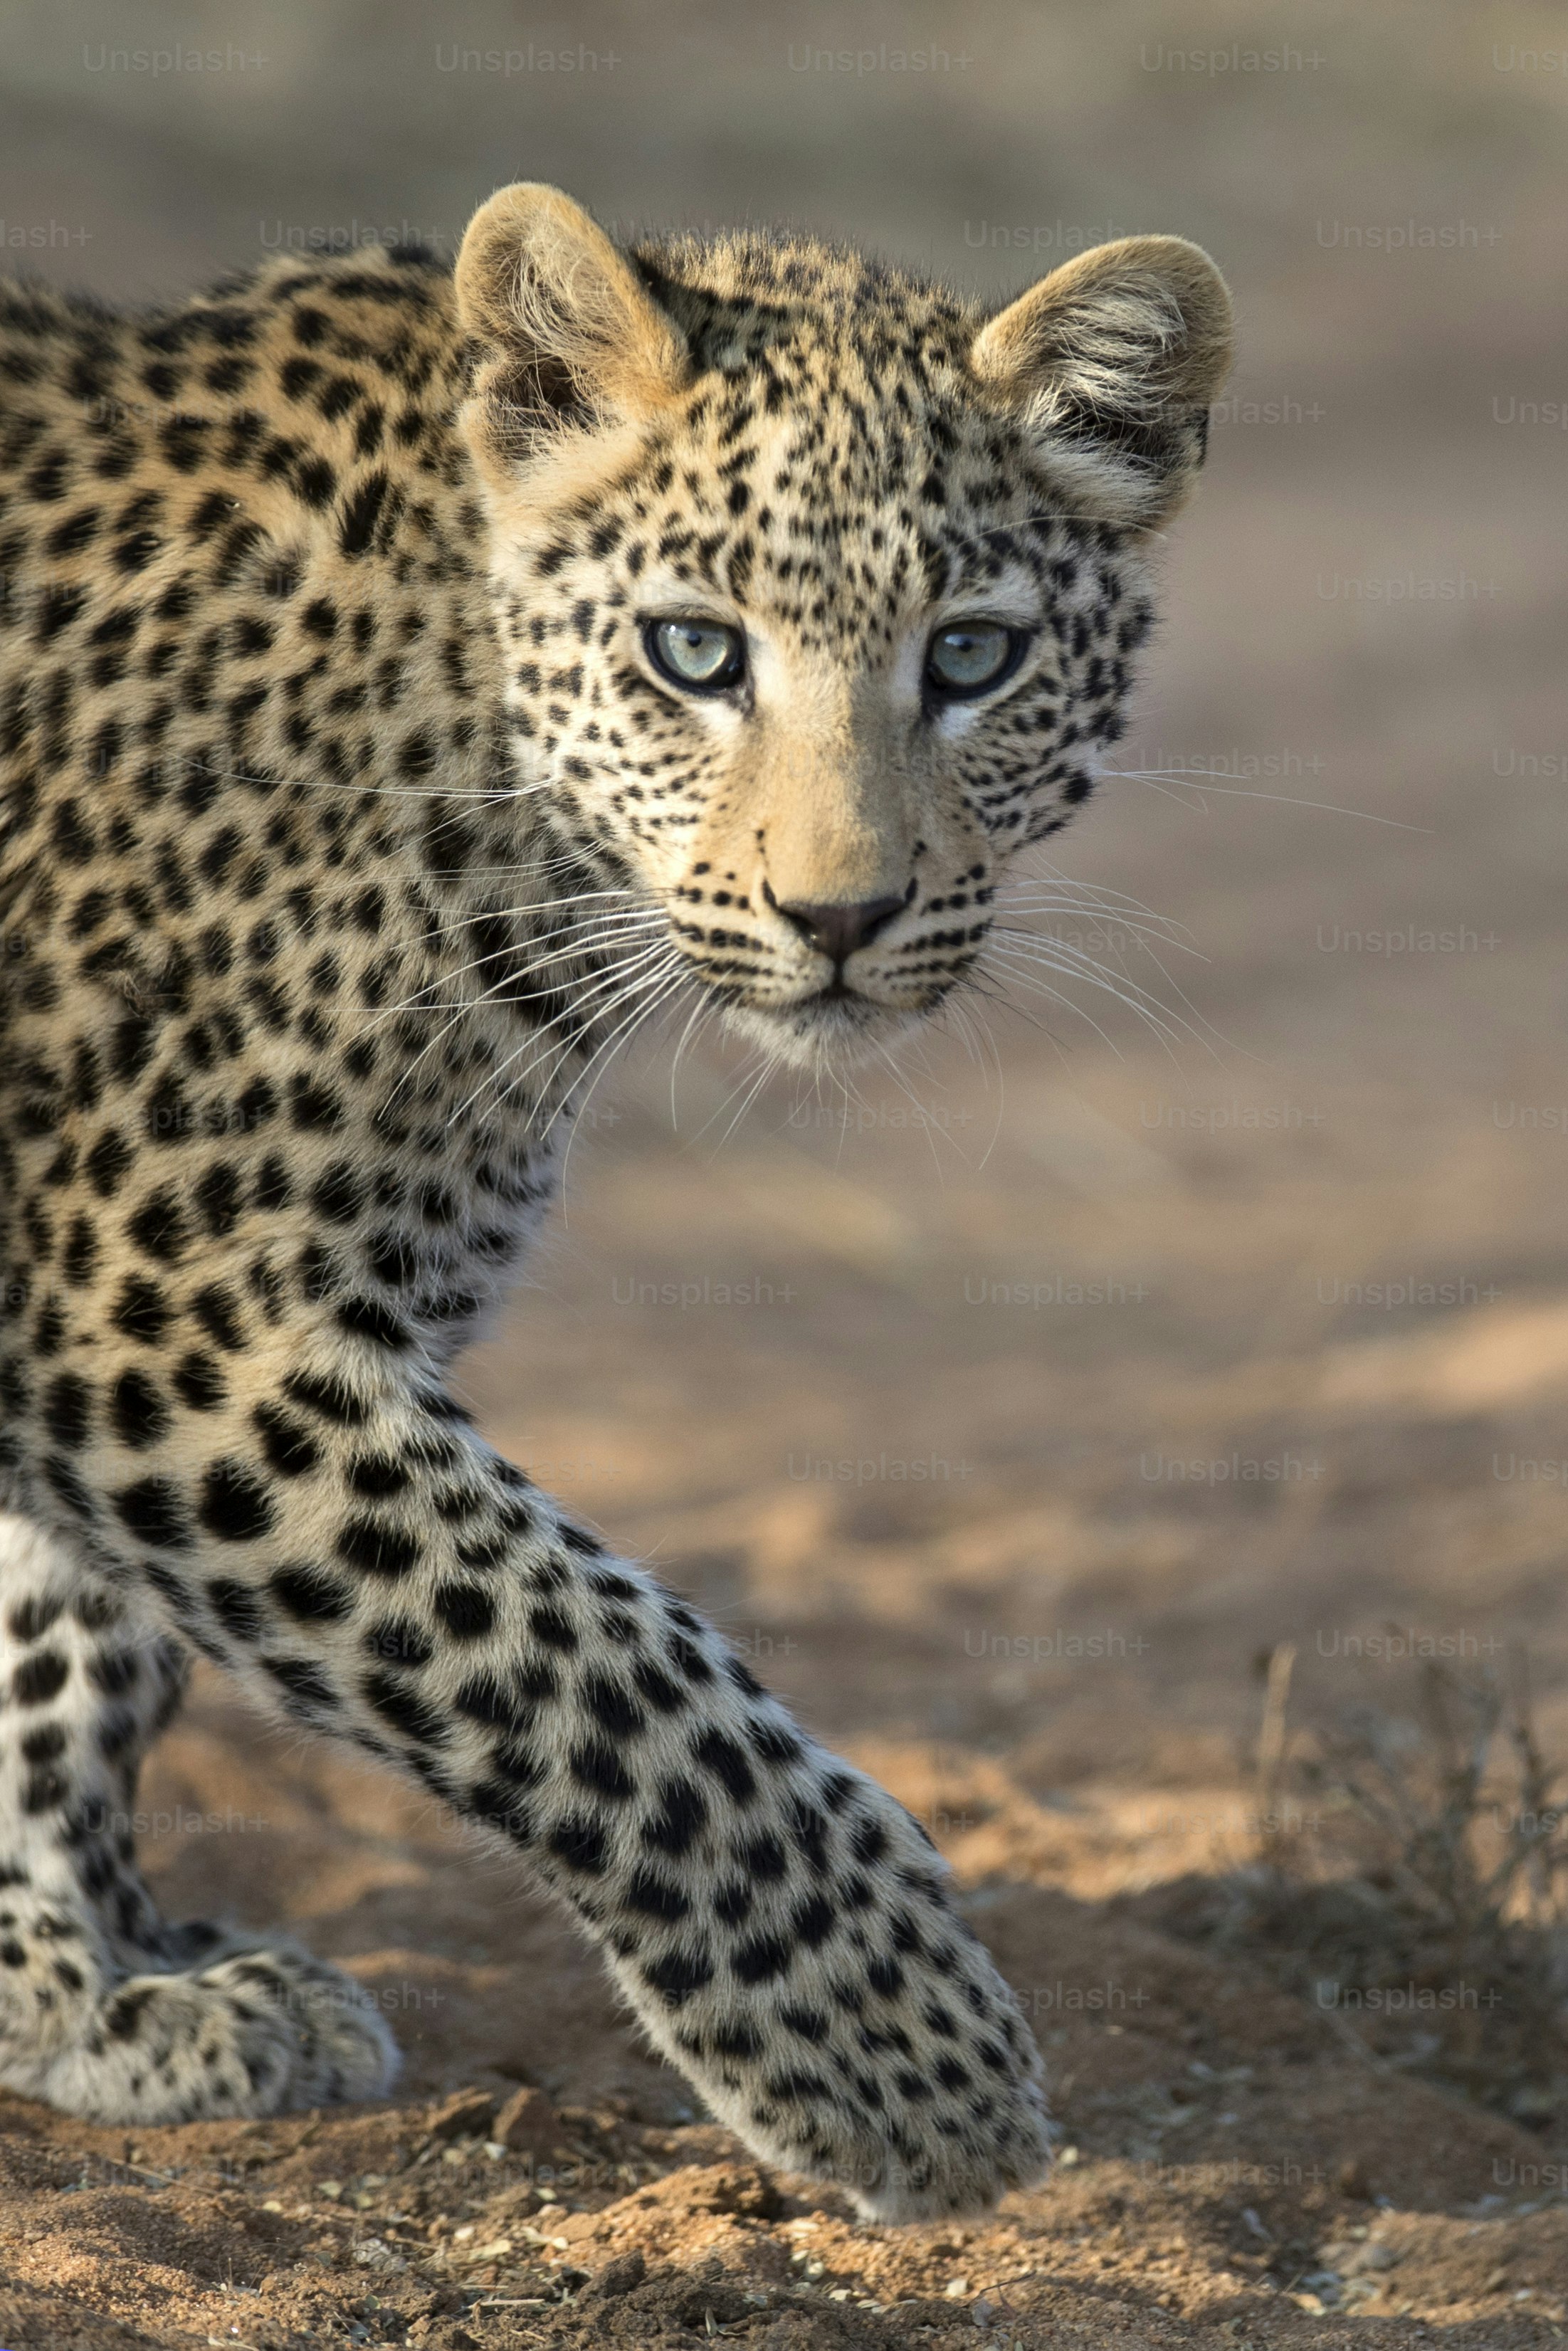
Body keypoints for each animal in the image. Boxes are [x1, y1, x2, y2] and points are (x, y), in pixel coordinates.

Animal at [0, 183, 1230, 2219]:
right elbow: (580, 1658)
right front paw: (904, 2055)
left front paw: (74, 1998)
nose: (840, 916)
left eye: (971, 660)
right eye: (692, 652)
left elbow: (56, 1647)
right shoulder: (149, 1304)